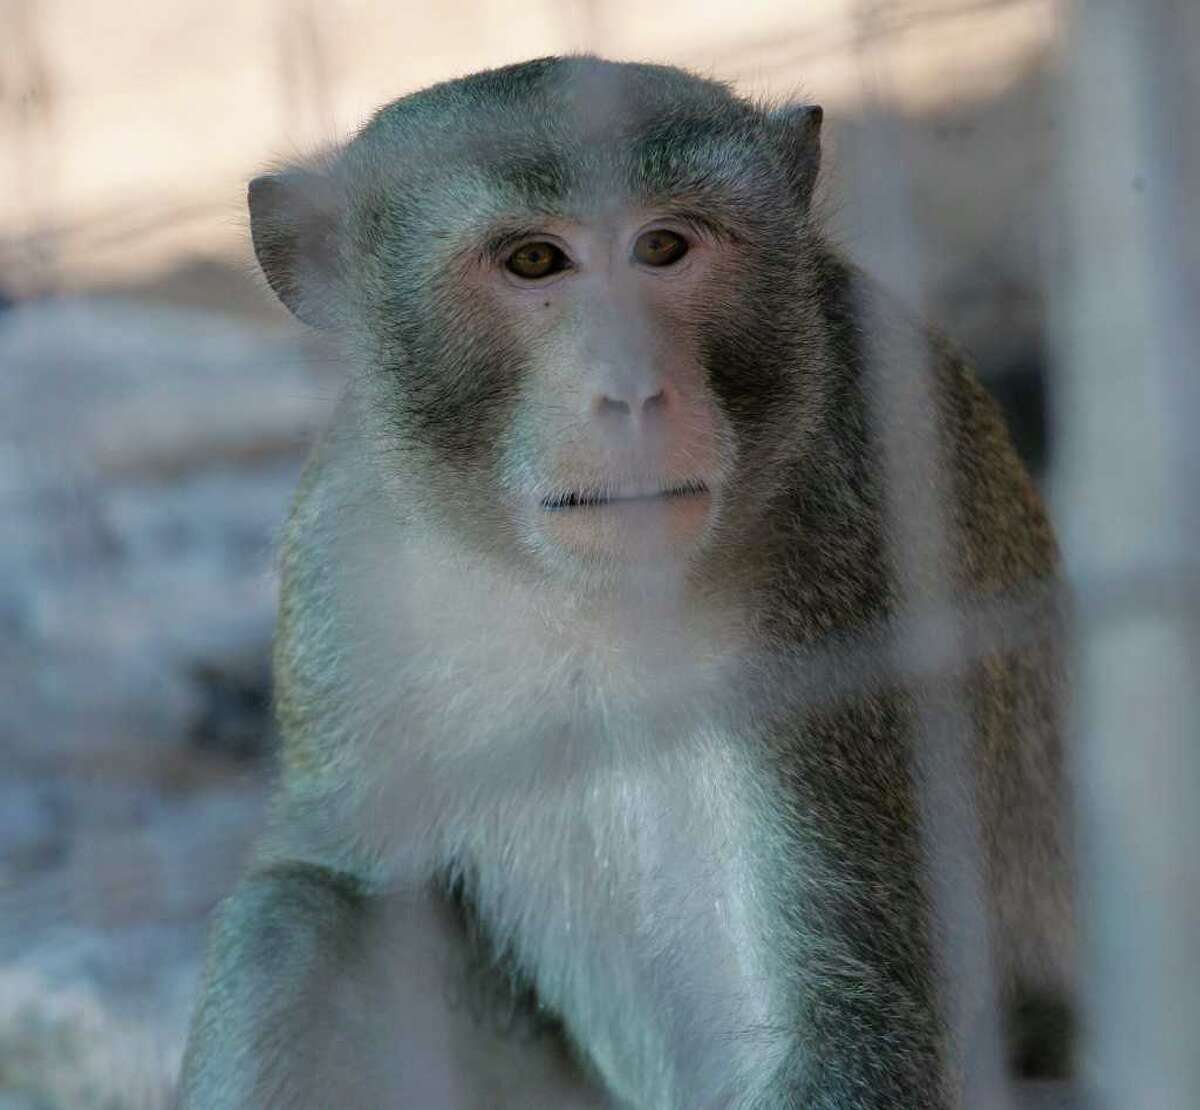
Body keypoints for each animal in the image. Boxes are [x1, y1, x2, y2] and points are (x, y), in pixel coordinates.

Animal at [179, 56, 1074, 1109]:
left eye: (664, 246)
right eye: (535, 262)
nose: (636, 390)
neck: (580, 595)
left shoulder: (851, 554)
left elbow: (855, 1021)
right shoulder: (341, 560)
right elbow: (331, 870)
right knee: (299, 924)